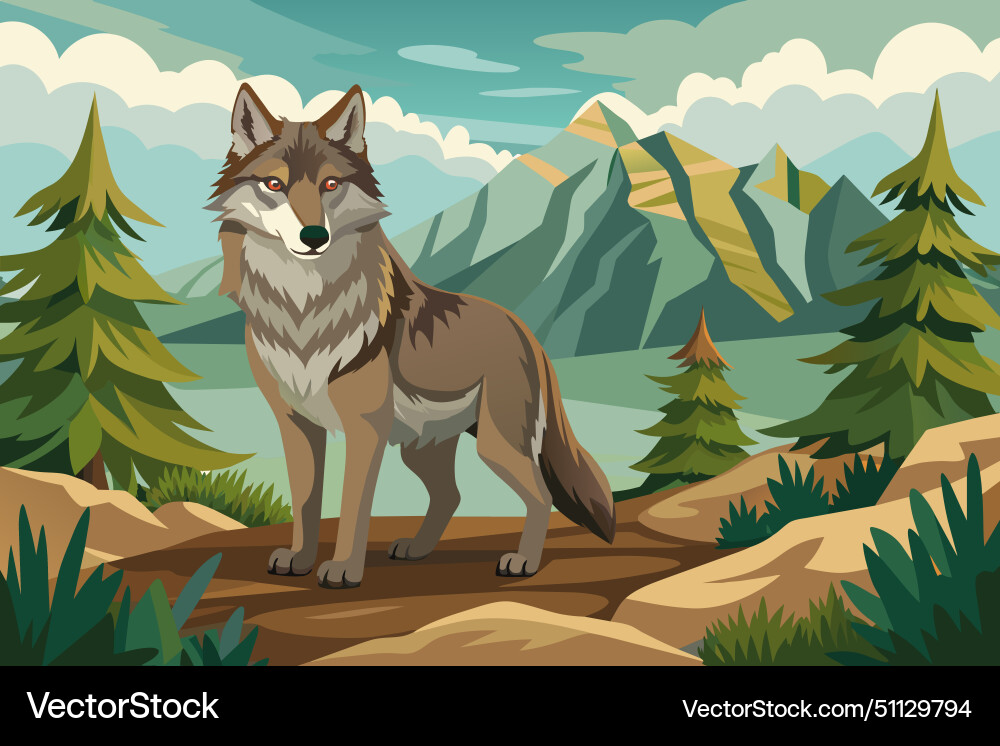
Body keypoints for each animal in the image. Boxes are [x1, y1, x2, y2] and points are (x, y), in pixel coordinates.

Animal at [208, 83, 616, 588]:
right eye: (274, 185)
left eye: (330, 186)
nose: (314, 235)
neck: (303, 309)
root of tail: (526, 331)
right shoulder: (296, 424)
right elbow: (305, 501)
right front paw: (299, 560)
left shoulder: (366, 429)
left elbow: (352, 505)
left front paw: (343, 569)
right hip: (422, 450)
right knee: (451, 496)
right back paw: (417, 550)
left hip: (495, 444)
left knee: (538, 494)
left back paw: (522, 562)